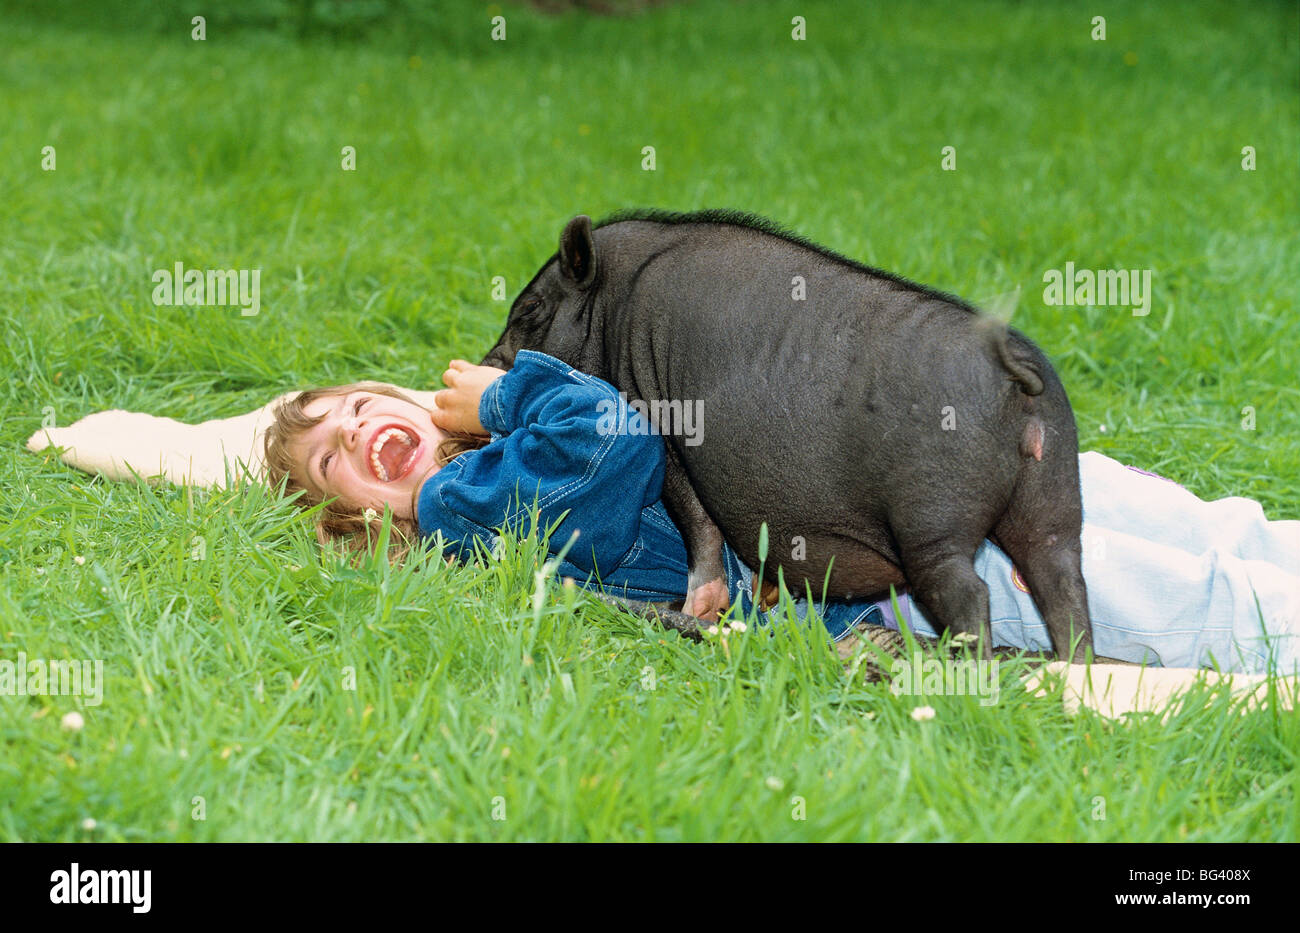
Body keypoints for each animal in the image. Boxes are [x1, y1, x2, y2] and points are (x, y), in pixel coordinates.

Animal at [481, 209, 1092, 662]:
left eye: (529, 310)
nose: (484, 363)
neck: (614, 305)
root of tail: (1012, 368)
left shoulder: (664, 424)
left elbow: (698, 522)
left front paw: (702, 612)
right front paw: (758, 600)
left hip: (932, 516)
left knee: (971, 592)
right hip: (1055, 491)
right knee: (1063, 581)